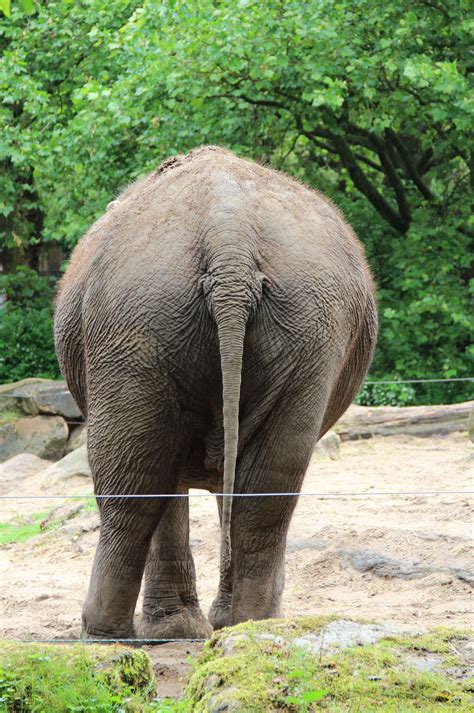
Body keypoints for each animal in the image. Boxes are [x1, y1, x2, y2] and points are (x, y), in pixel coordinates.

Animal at [54, 145, 377, 641]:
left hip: (132, 324)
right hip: (307, 329)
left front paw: (177, 629)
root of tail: (230, 240)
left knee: (134, 478)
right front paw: (189, 627)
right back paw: (246, 624)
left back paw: (103, 634)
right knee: (267, 483)